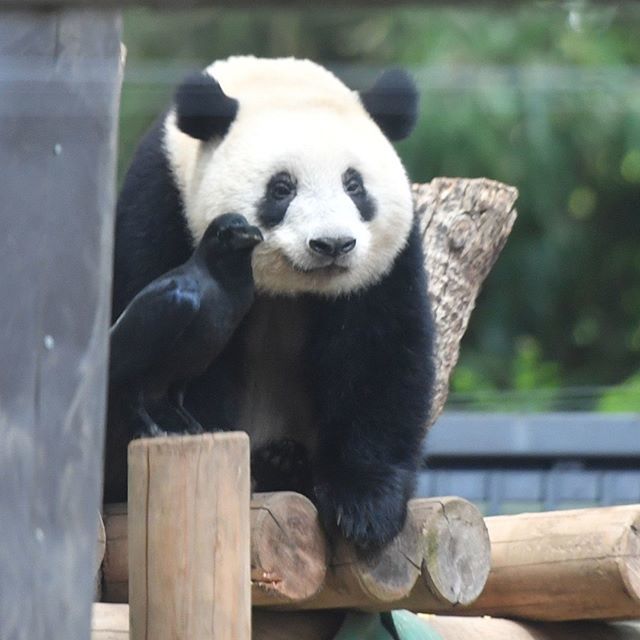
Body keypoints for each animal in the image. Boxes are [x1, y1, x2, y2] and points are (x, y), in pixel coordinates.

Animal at [106, 56, 435, 555]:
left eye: (354, 184)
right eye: (282, 188)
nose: (332, 245)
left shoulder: (385, 265)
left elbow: (380, 356)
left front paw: (365, 509)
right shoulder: (161, 209)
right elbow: (185, 356)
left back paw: (286, 461)